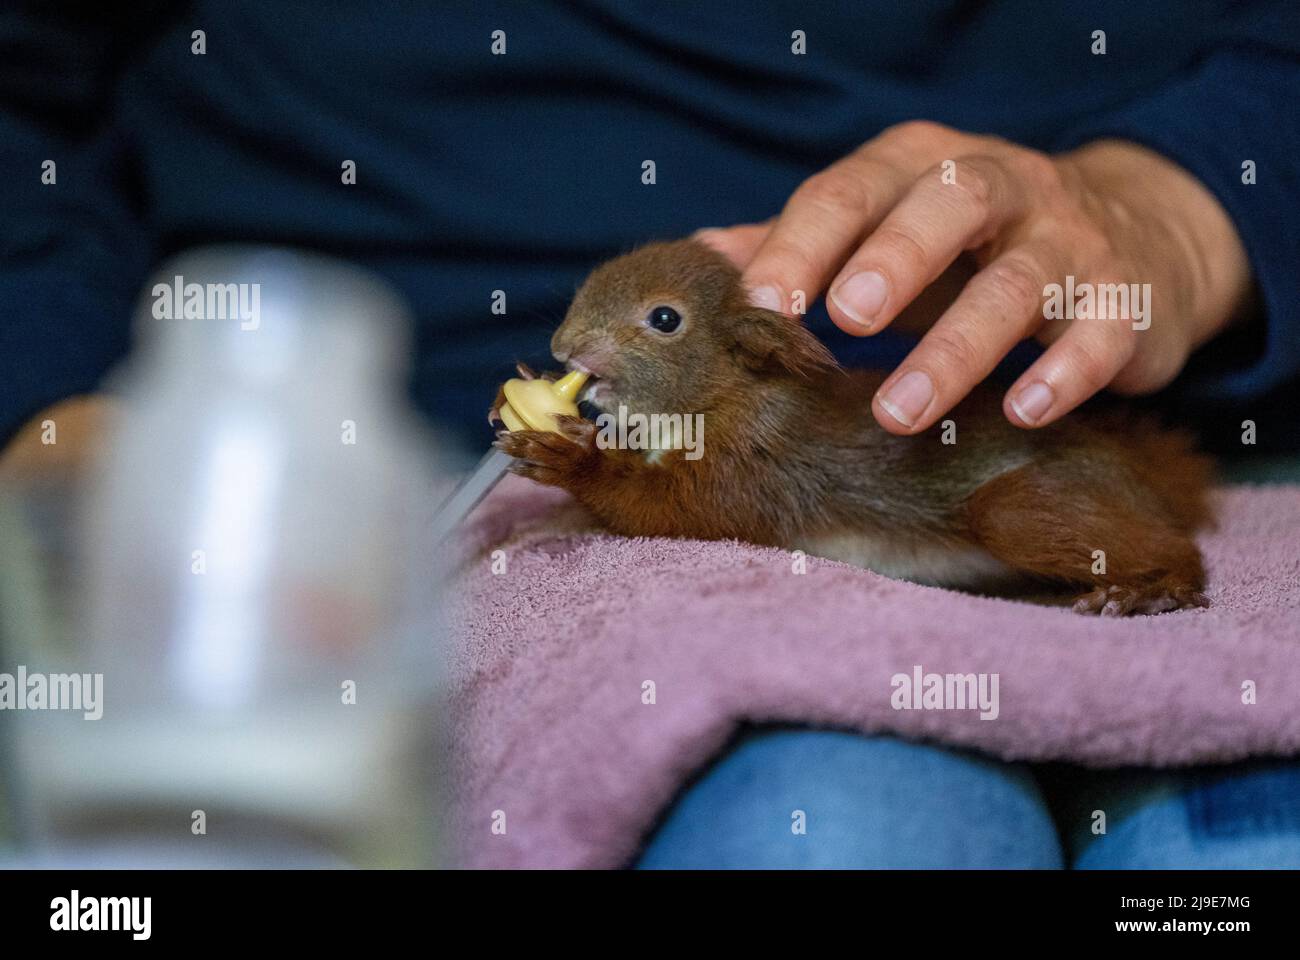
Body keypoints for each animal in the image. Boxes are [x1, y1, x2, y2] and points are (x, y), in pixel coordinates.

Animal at [492, 238, 1212, 615]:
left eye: (664, 320)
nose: (562, 347)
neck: (728, 398)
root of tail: (1142, 474)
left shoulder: (757, 471)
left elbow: (672, 510)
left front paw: (568, 458)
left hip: (1024, 506)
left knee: (1178, 552)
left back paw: (1149, 591)